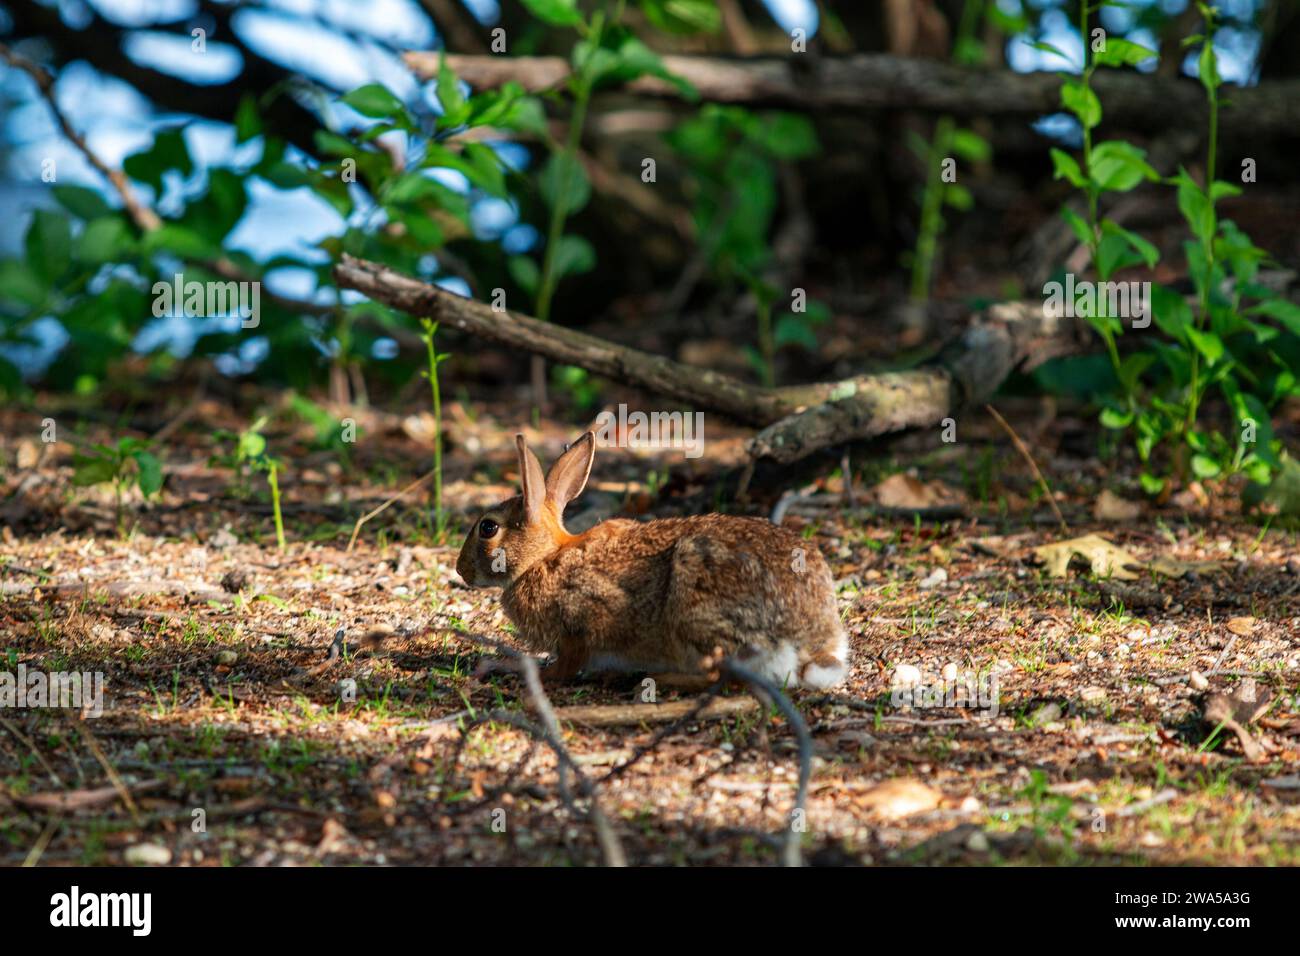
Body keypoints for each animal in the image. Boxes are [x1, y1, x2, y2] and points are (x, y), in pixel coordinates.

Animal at [455, 432, 850, 689]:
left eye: (488, 528)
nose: (461, 570)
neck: (542, 558)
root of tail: (811, 646)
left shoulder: (582, 624)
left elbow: (564, 665)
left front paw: (514, 668)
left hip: (694, 609)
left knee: (715, 673)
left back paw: (655, 677)